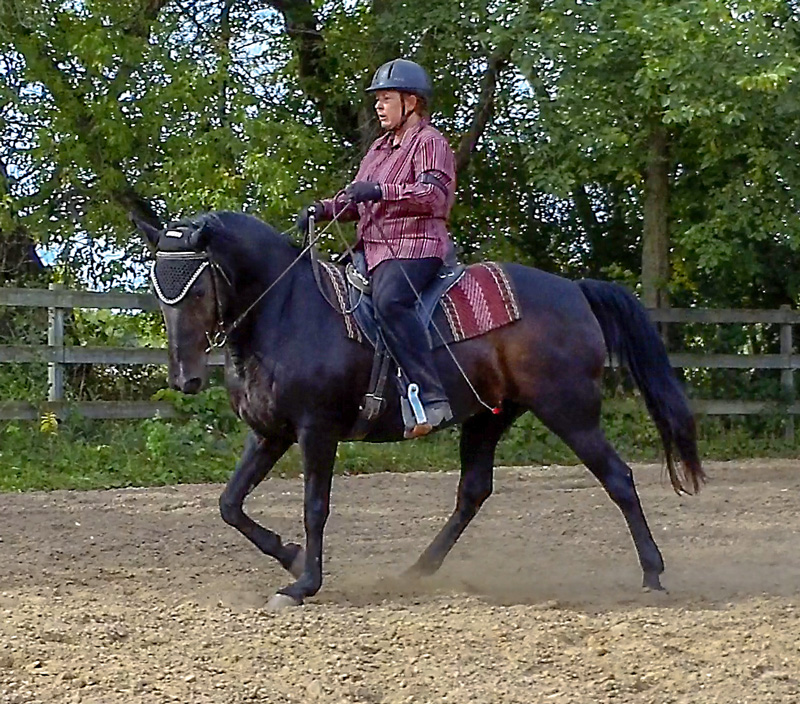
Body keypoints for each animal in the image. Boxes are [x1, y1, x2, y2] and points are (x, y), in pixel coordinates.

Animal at [132, 209, 705, 610]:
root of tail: (575, 290)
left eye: (197, 287)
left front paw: (304, 584)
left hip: (570, 412)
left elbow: (315, 507)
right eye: (161, 292)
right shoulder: (270, 433)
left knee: (618, 478)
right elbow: (230, 504)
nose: (185, 377)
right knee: (473, 492)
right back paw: (418, 570)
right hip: (490, 416)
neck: (286, 312)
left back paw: (653, 573)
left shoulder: (317, 431)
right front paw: (292, 558)